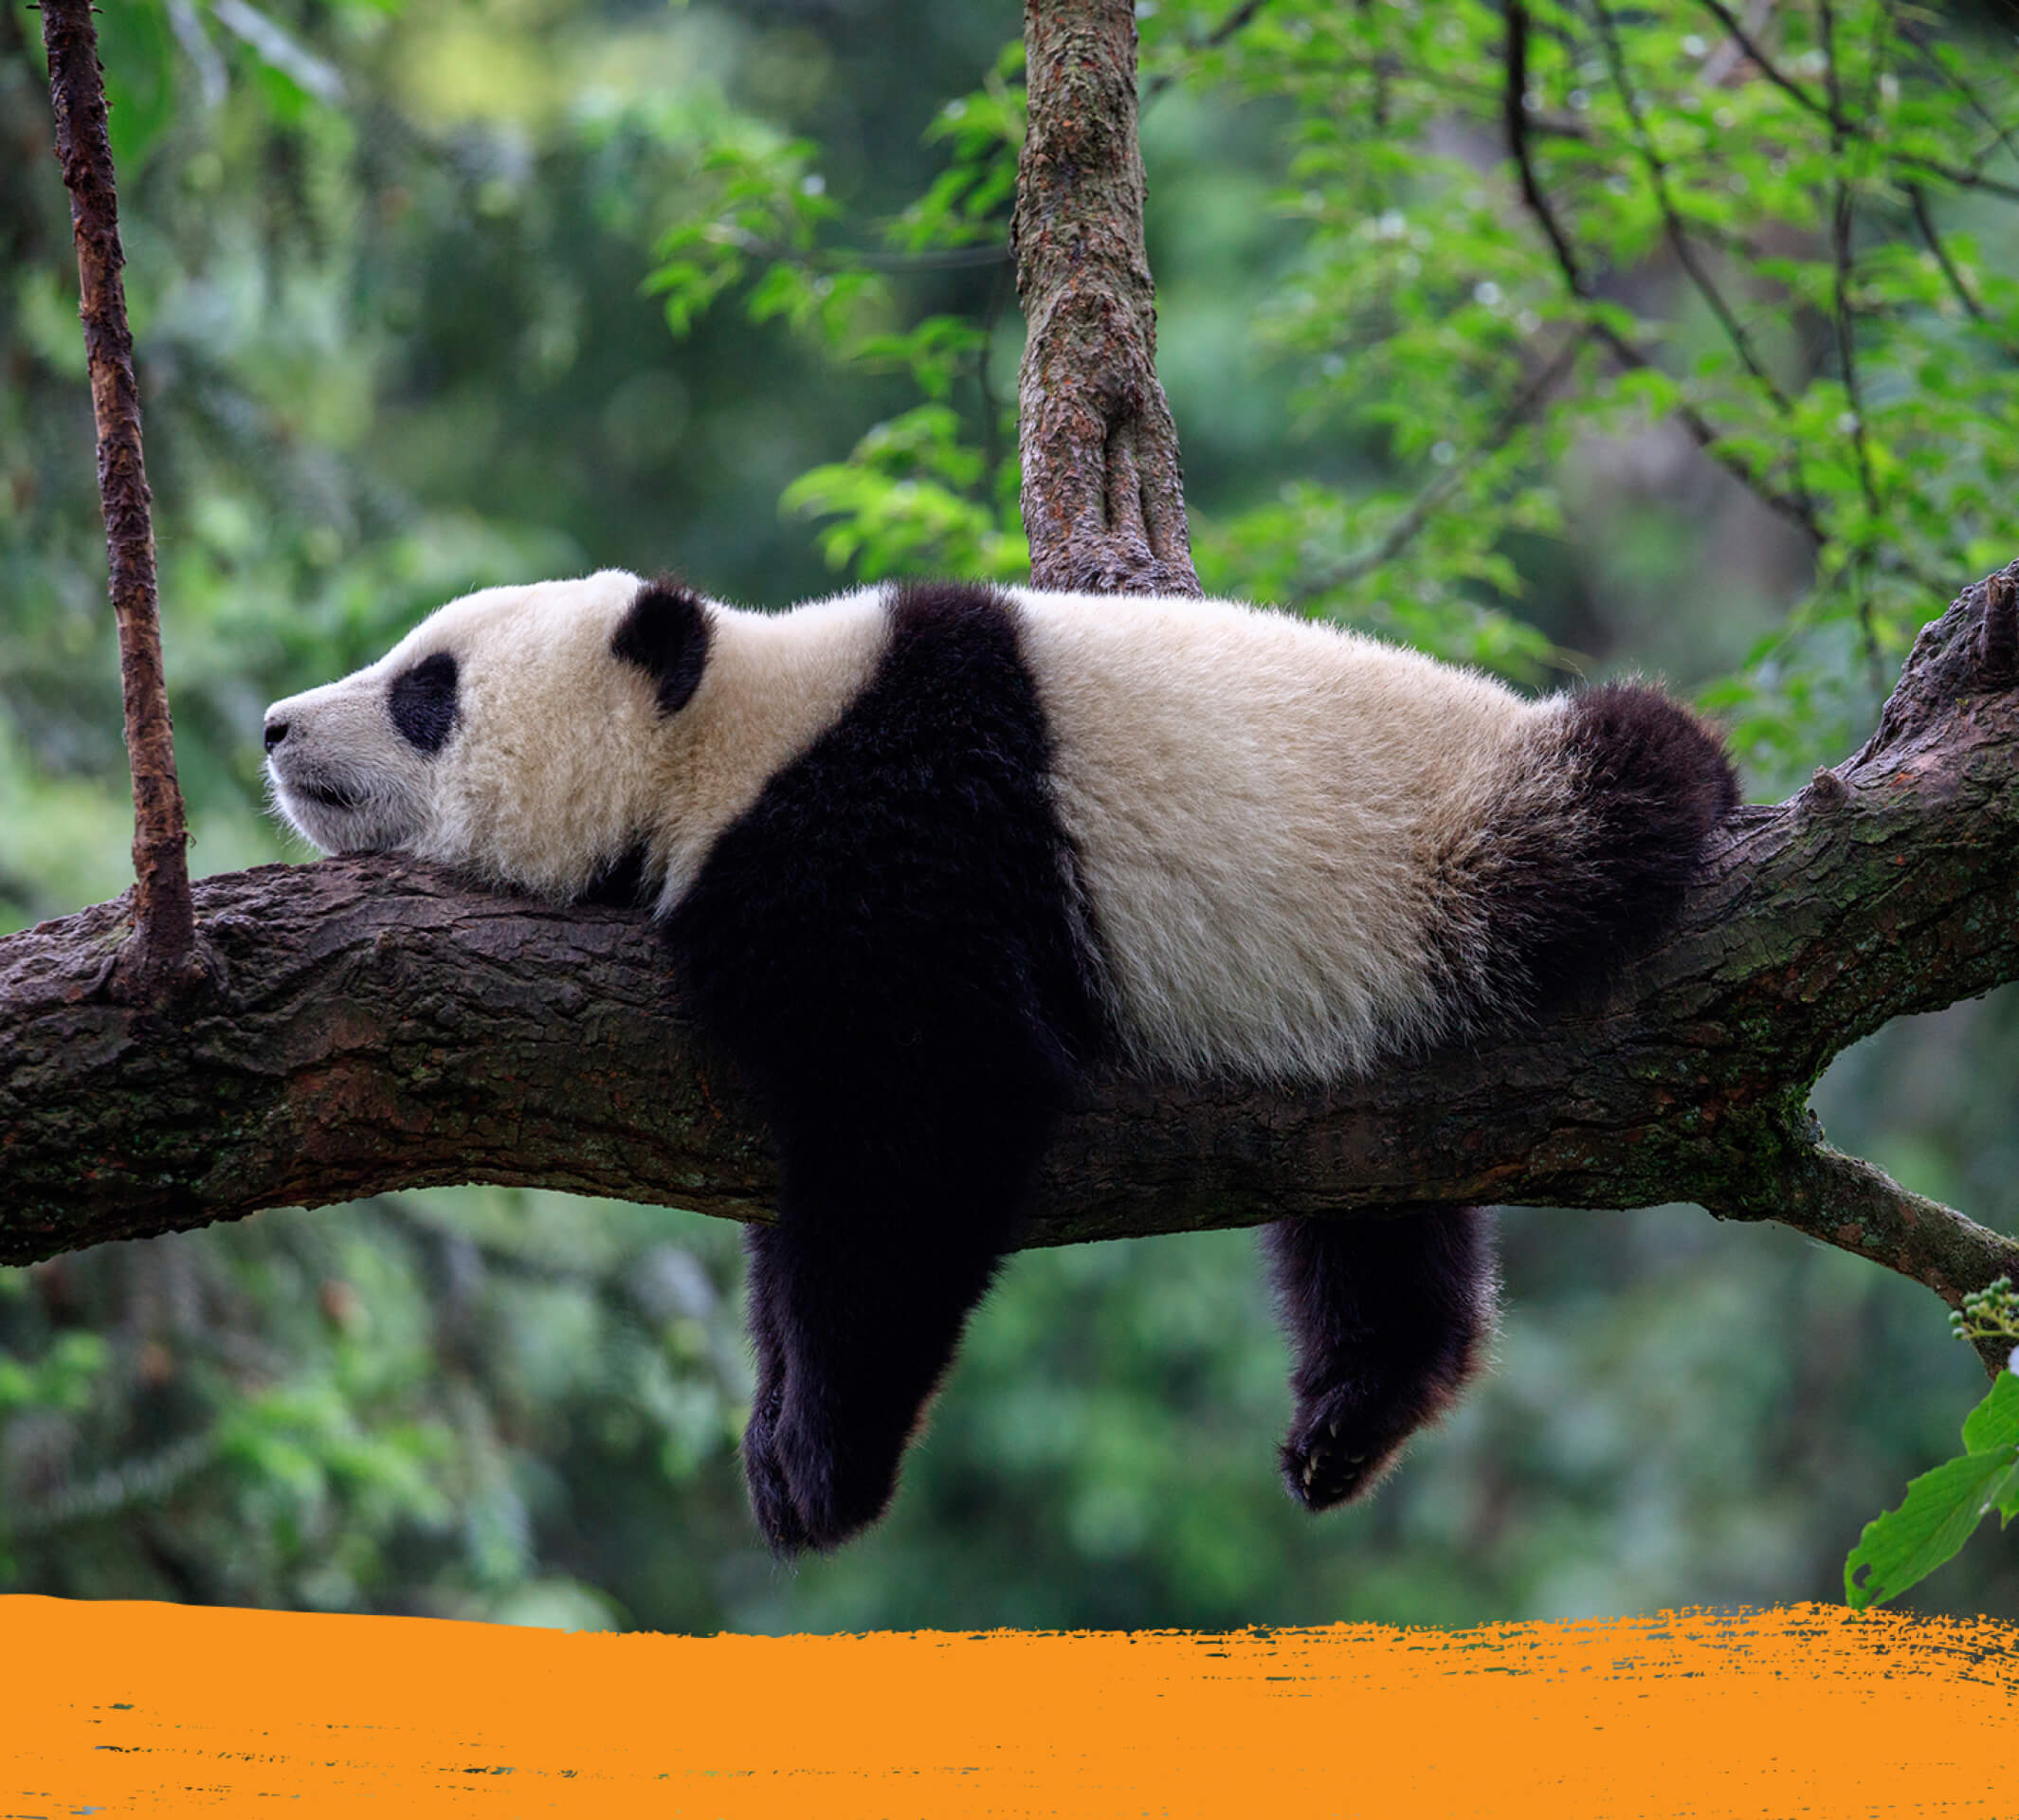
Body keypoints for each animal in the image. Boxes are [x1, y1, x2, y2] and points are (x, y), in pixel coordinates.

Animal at [263, 569, 1737, 1556]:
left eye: (425, 690)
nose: (276, 726)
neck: (732, 732)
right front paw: (776, 1428)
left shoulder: (896, 835)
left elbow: (929, 1121)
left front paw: (821, 1464)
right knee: (1373, 1206)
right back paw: (1354, 1410)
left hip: (1453, 845)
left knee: (1615, 790)